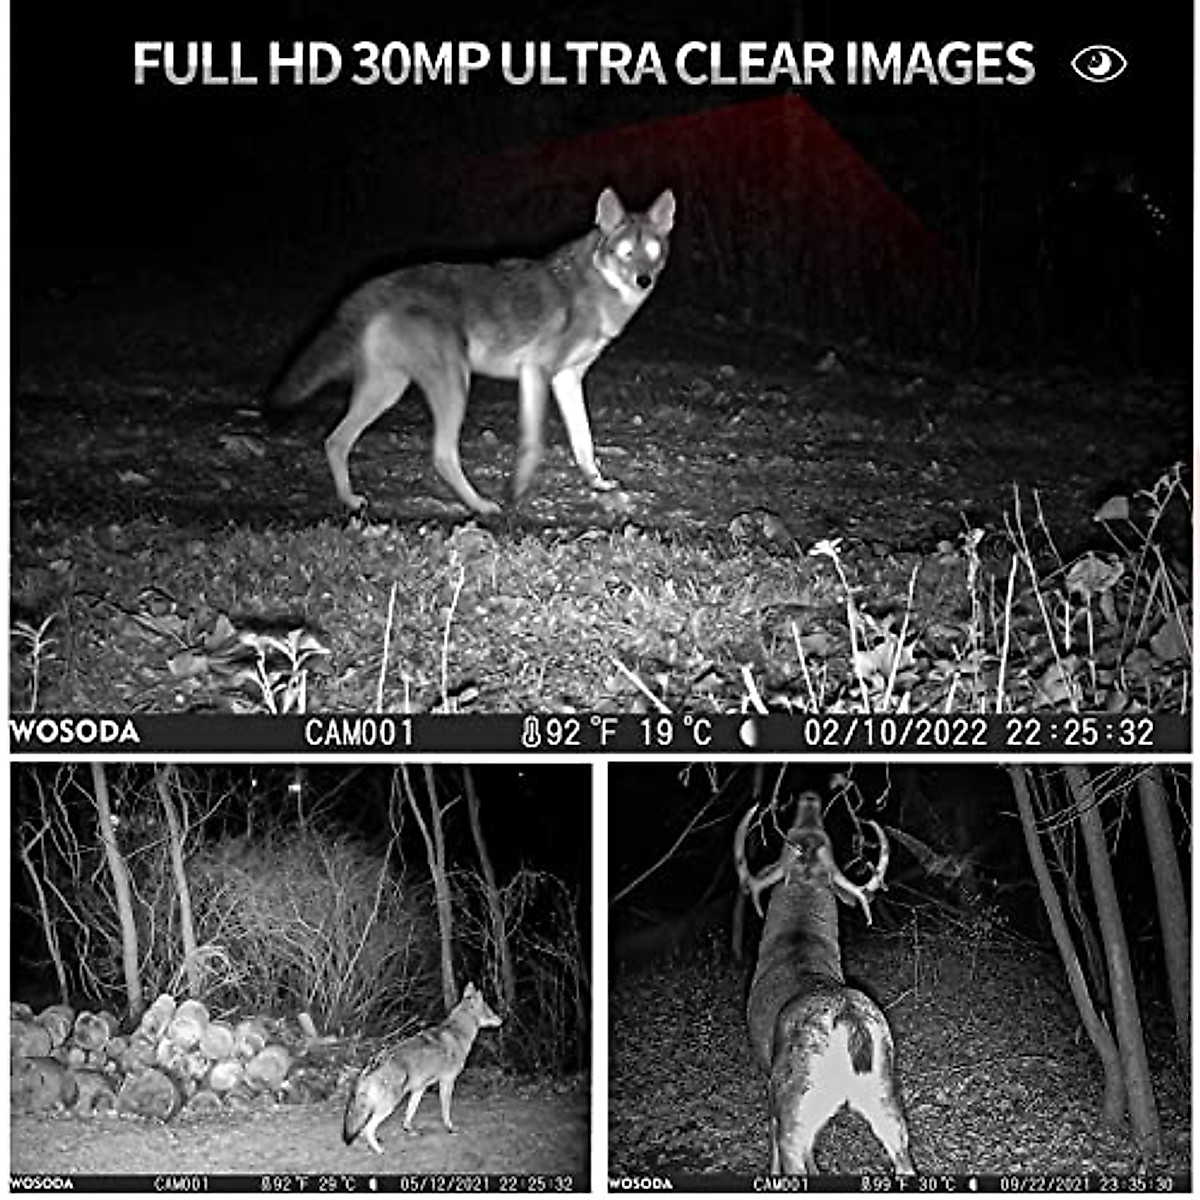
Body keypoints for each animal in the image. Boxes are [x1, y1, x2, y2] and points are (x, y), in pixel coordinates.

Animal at [735, 791, 916, 1176]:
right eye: (801, 833)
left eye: (787, 839)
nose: (809, 797)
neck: (797, 940)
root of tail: (850, 1020)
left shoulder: (766, 1073)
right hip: (885, 1095)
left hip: (796, 1098)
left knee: (791, 1149)